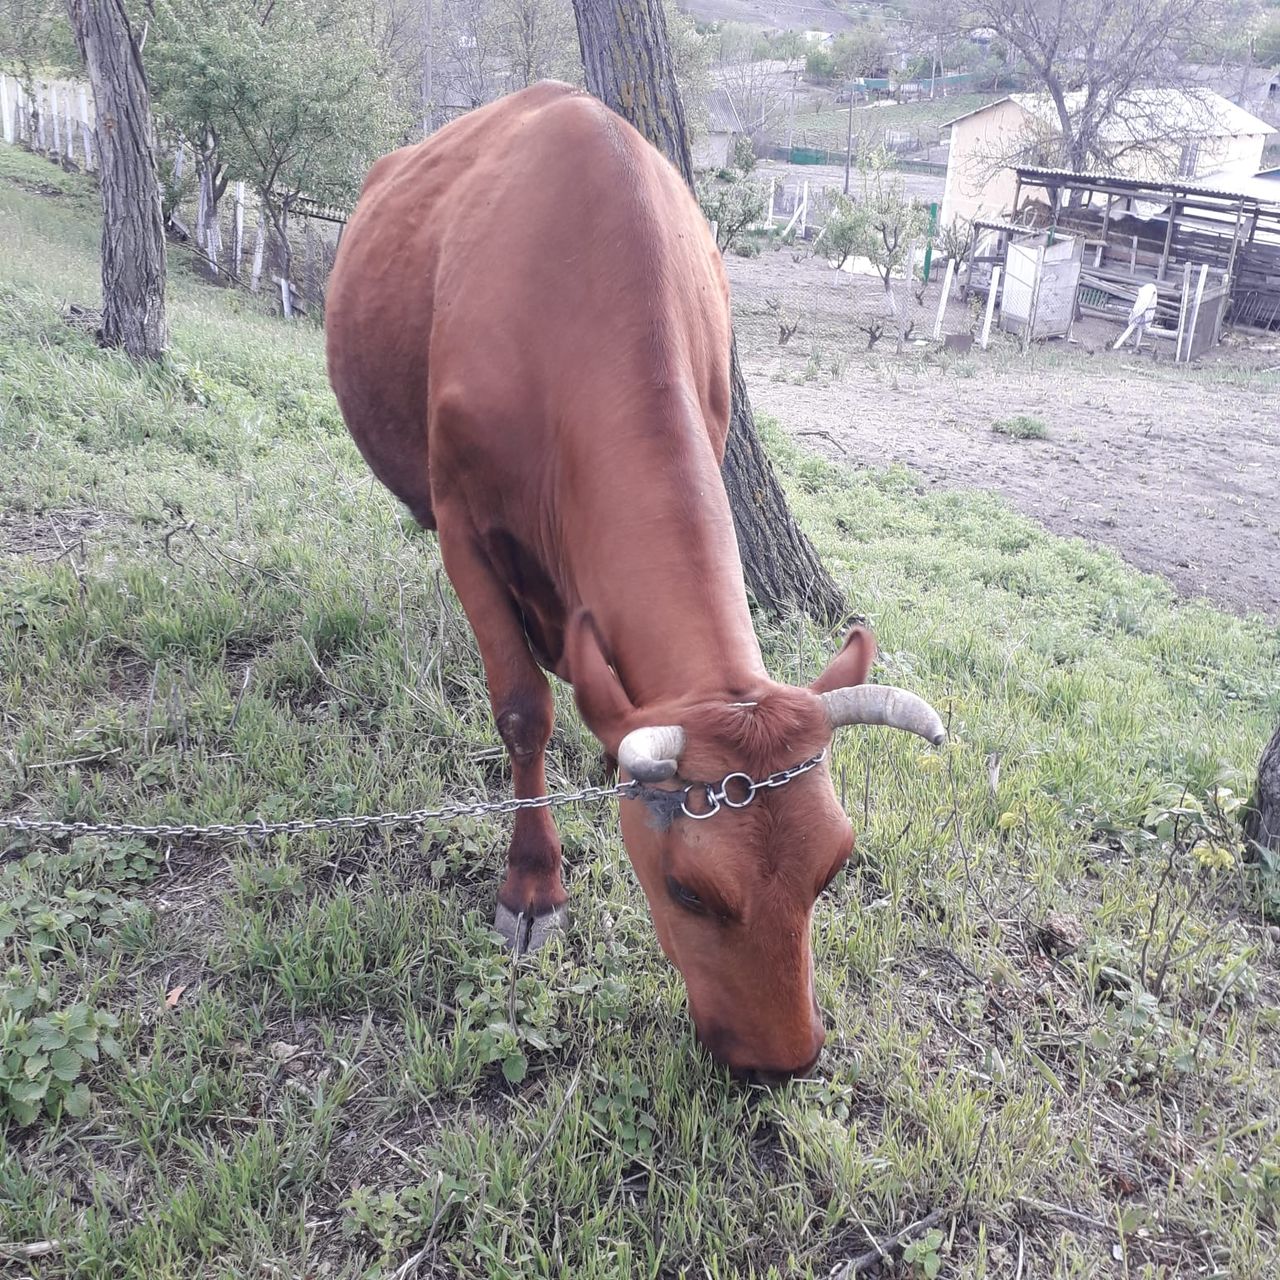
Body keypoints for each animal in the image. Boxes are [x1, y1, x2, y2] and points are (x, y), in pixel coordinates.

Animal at [325, 82, 945, 1083]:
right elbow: (522, 709)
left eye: (837, 865)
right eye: (688, 891)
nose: (784, 1061)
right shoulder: (463, 520)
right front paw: (532, 885)